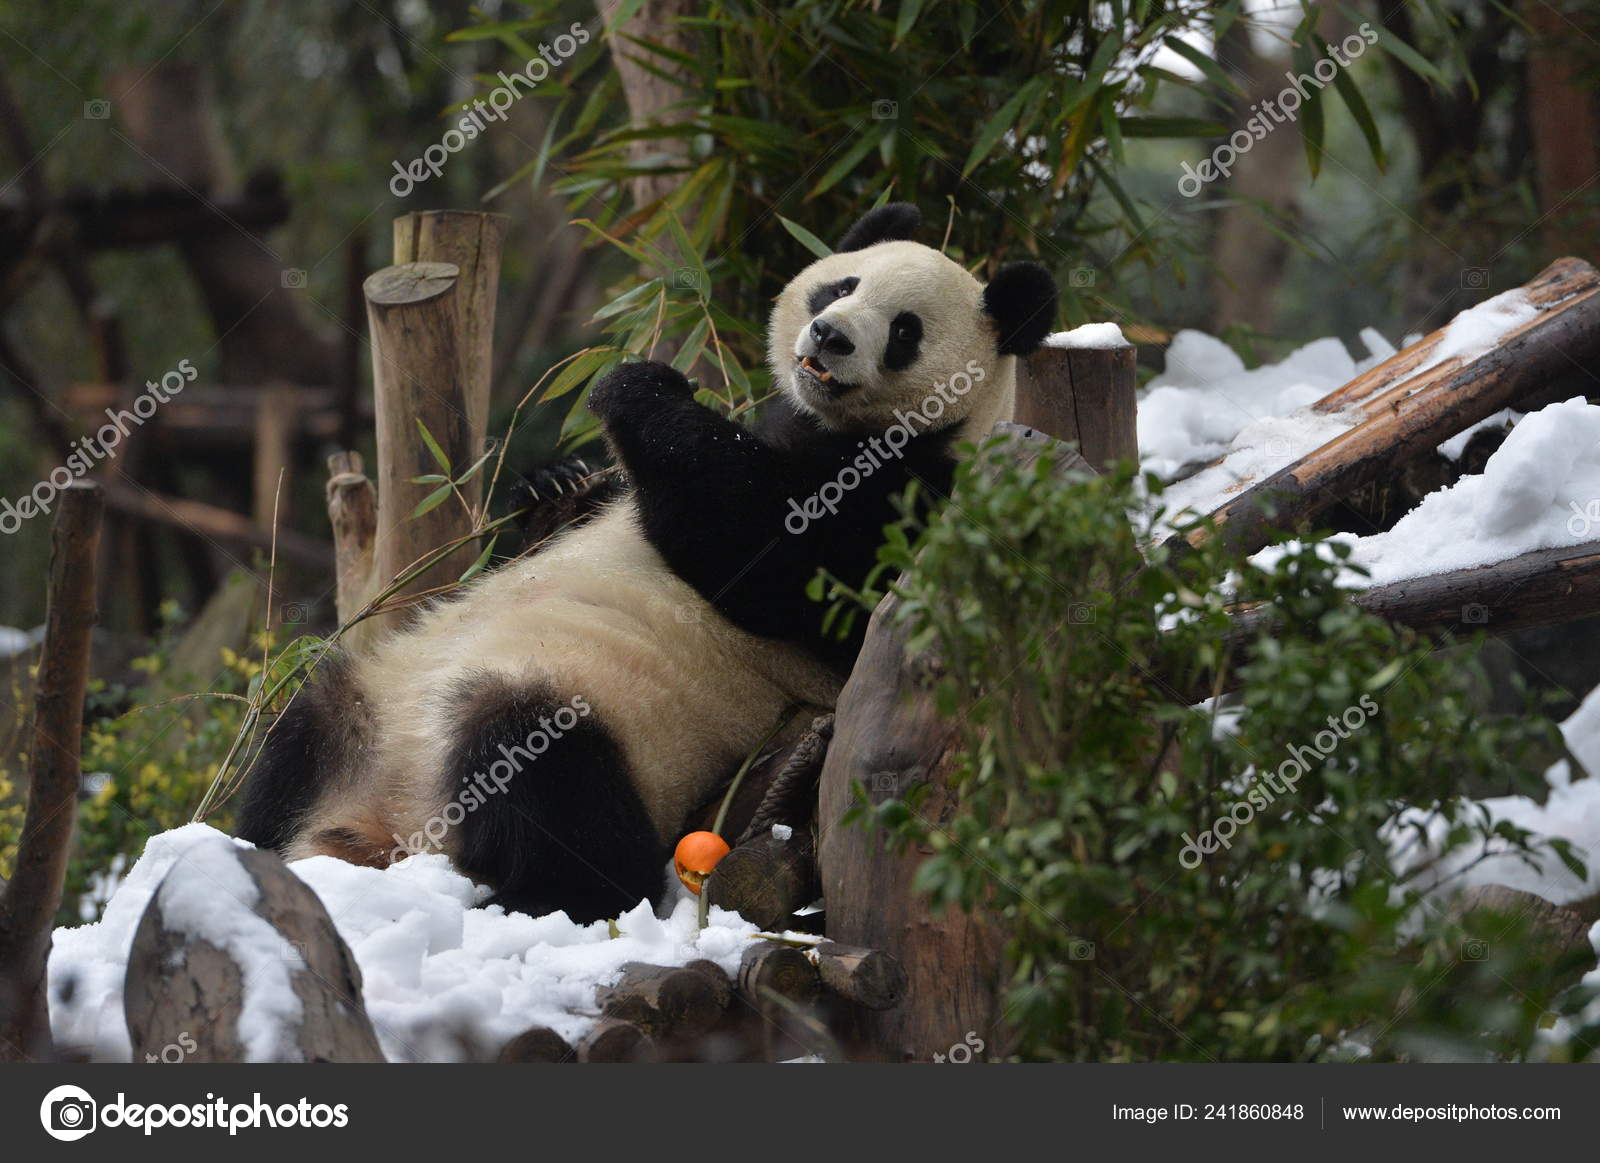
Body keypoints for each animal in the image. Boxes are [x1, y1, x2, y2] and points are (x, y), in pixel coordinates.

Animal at [235, 203, 1057, 922]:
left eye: (904, 331)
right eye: (841, 286)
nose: (828, 334)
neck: (837, 425)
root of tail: (383, 827)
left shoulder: (913, 503)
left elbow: (775, 555)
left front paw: (640, 385)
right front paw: (552, 485)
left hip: (596, 716)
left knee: (546, 778)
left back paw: (536, 893)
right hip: (373, 701)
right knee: (301, 732)